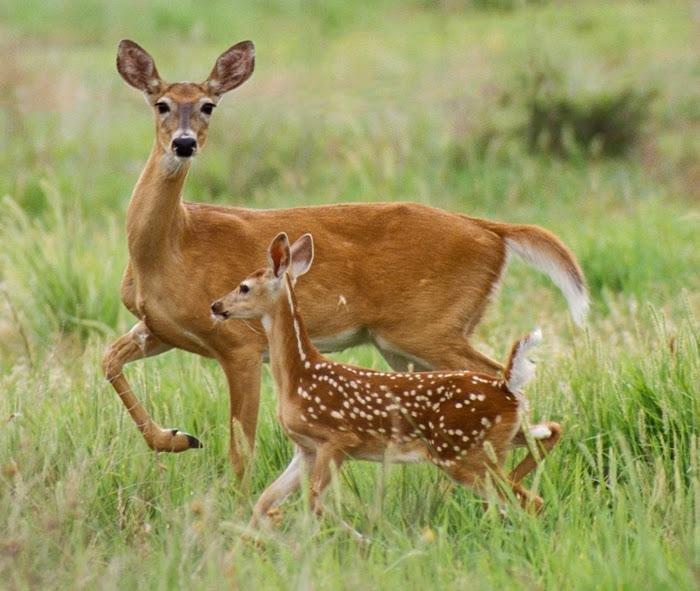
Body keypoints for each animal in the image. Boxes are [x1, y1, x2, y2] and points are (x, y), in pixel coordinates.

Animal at [104, 39, 585, 479]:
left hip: (429, 328)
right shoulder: (161, 327)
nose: (184, 144)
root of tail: (492, 231)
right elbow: (109, 359)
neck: (172, 247)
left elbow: (241, 449)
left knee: (507, 382)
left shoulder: (239, 343)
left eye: (208, 105)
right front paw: (177, 438)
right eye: (162, 104)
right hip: (408, 346)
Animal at [210, 232, 562, 524]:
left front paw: (360, 537)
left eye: (243, 286)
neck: (299, 375)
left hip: (463, 451)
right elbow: (264, 502)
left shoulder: (339, 439)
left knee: (530, 500)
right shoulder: (306, 449)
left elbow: (313, 503)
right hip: (498, 439)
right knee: (550, 434)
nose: (215, 305)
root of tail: (507, 386)